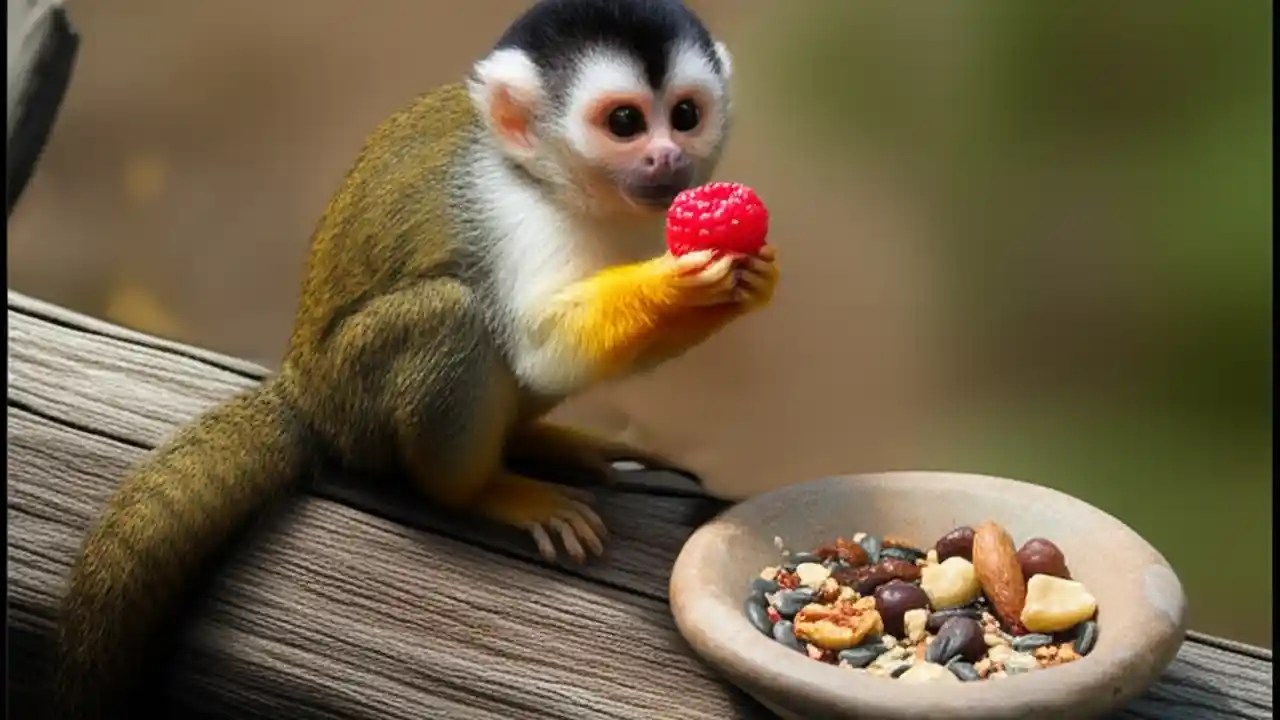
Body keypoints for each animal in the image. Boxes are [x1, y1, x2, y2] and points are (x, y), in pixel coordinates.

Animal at [53, 0, 778, 717]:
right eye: (625, 122)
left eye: (684, 115)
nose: (667, 155)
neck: (550, 181)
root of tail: (302, 394)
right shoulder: (517, 217)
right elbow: (543, 350)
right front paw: (684, 285)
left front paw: (748, 282)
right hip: (355, 400)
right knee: (456, 313)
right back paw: (479, 490)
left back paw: (535, 442)